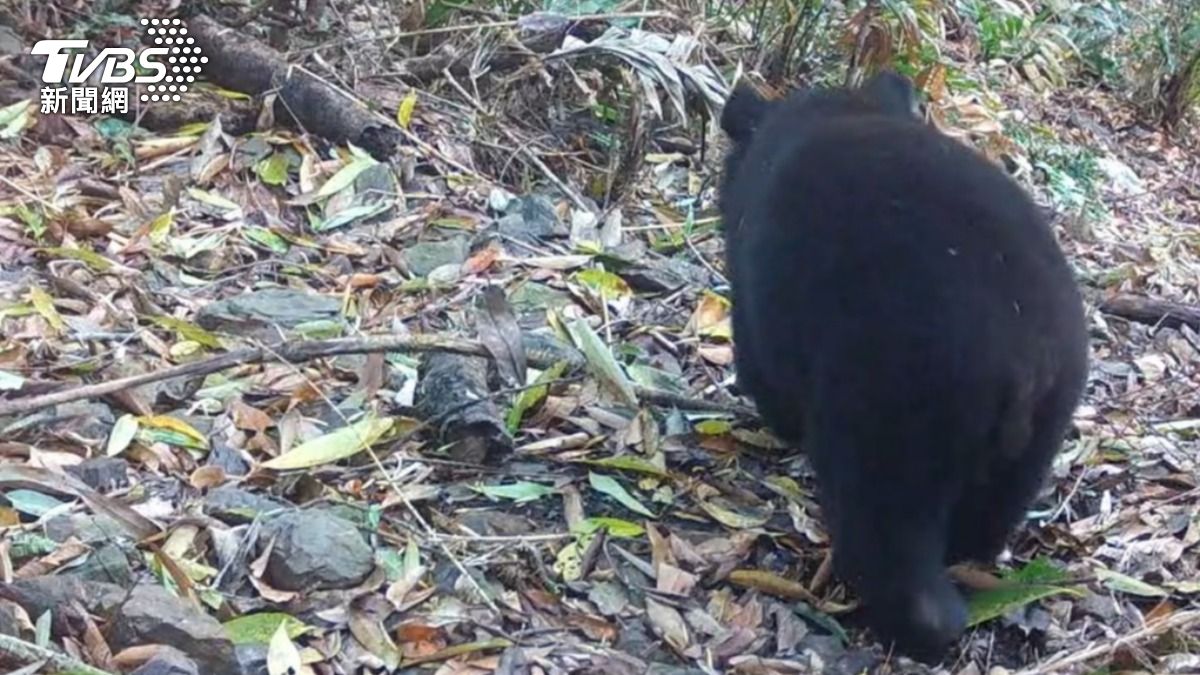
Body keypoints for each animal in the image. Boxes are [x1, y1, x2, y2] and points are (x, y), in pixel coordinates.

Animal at [717, 70, 1089, 662]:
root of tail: (1024, 355)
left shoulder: (758, 287)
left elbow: (760, 363)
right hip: (1046, 422)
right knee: (989, 513)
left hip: (896, 403)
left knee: (885, 522)